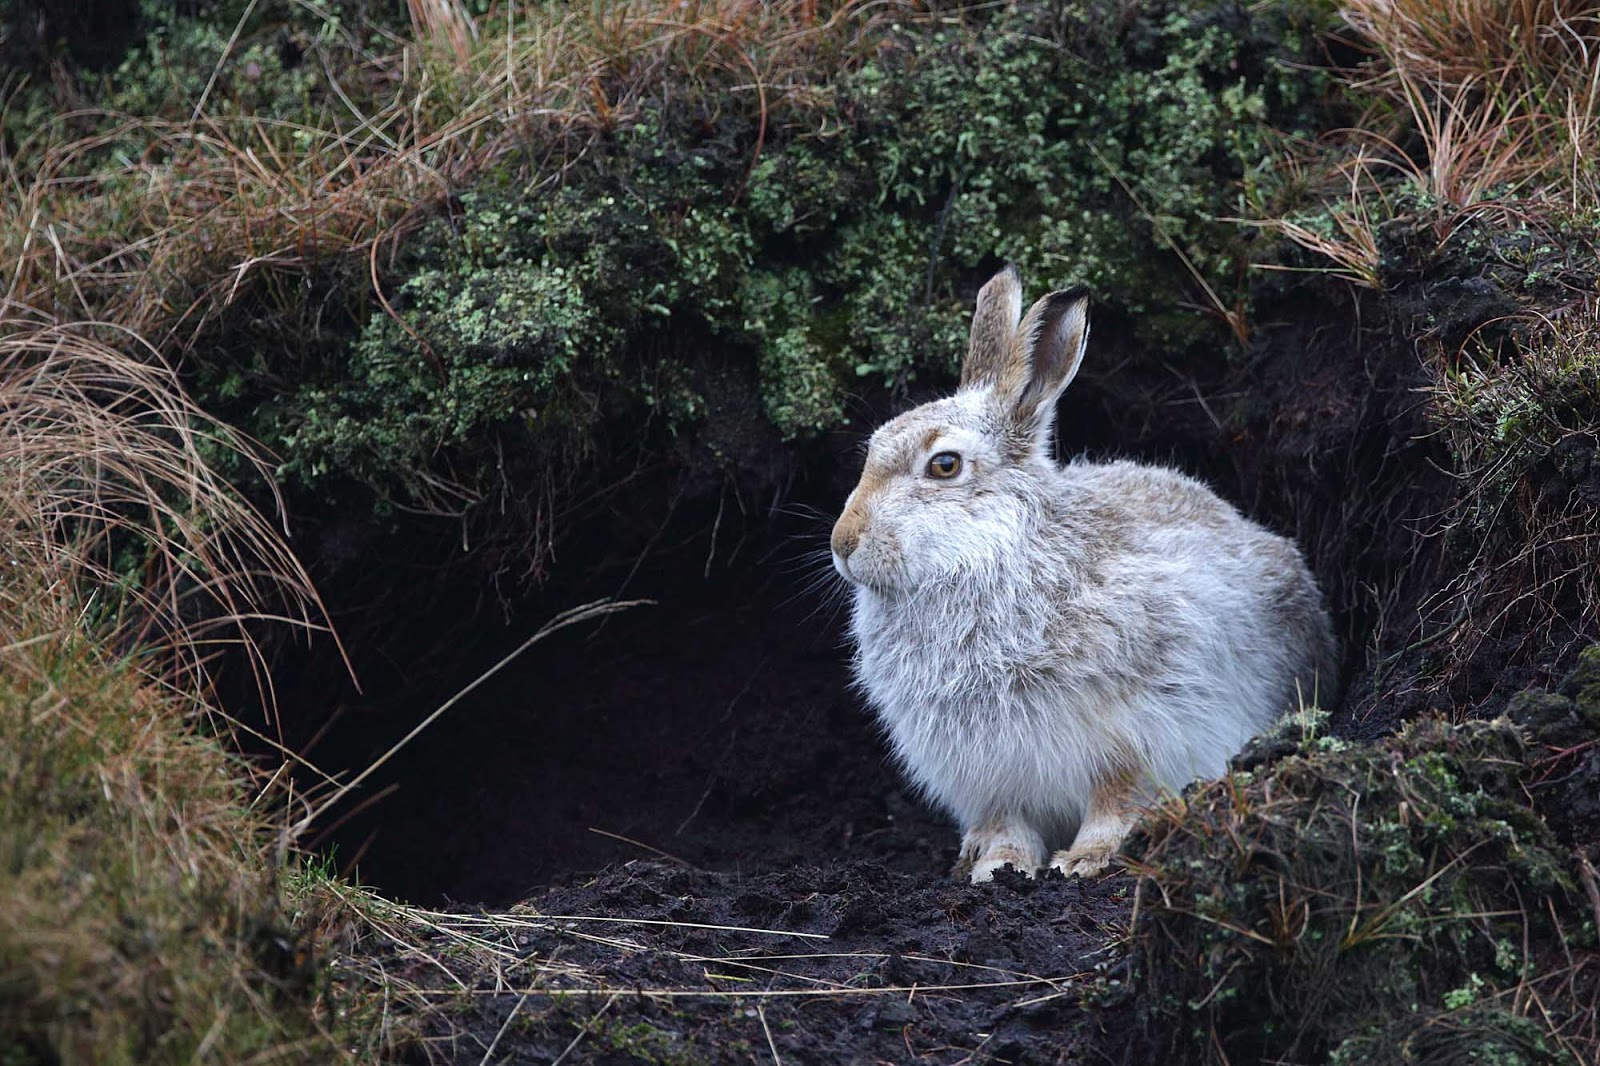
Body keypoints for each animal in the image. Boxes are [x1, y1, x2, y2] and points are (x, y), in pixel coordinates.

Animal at [830, 266, 1338, 883]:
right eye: (874, 447)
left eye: (944, 465)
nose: (843, 543)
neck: (992, 555)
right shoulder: (987, 775)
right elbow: (1008, 823)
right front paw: (998, 868)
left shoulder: (1146, 728)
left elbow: (1116, 800)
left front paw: (1084, 861)